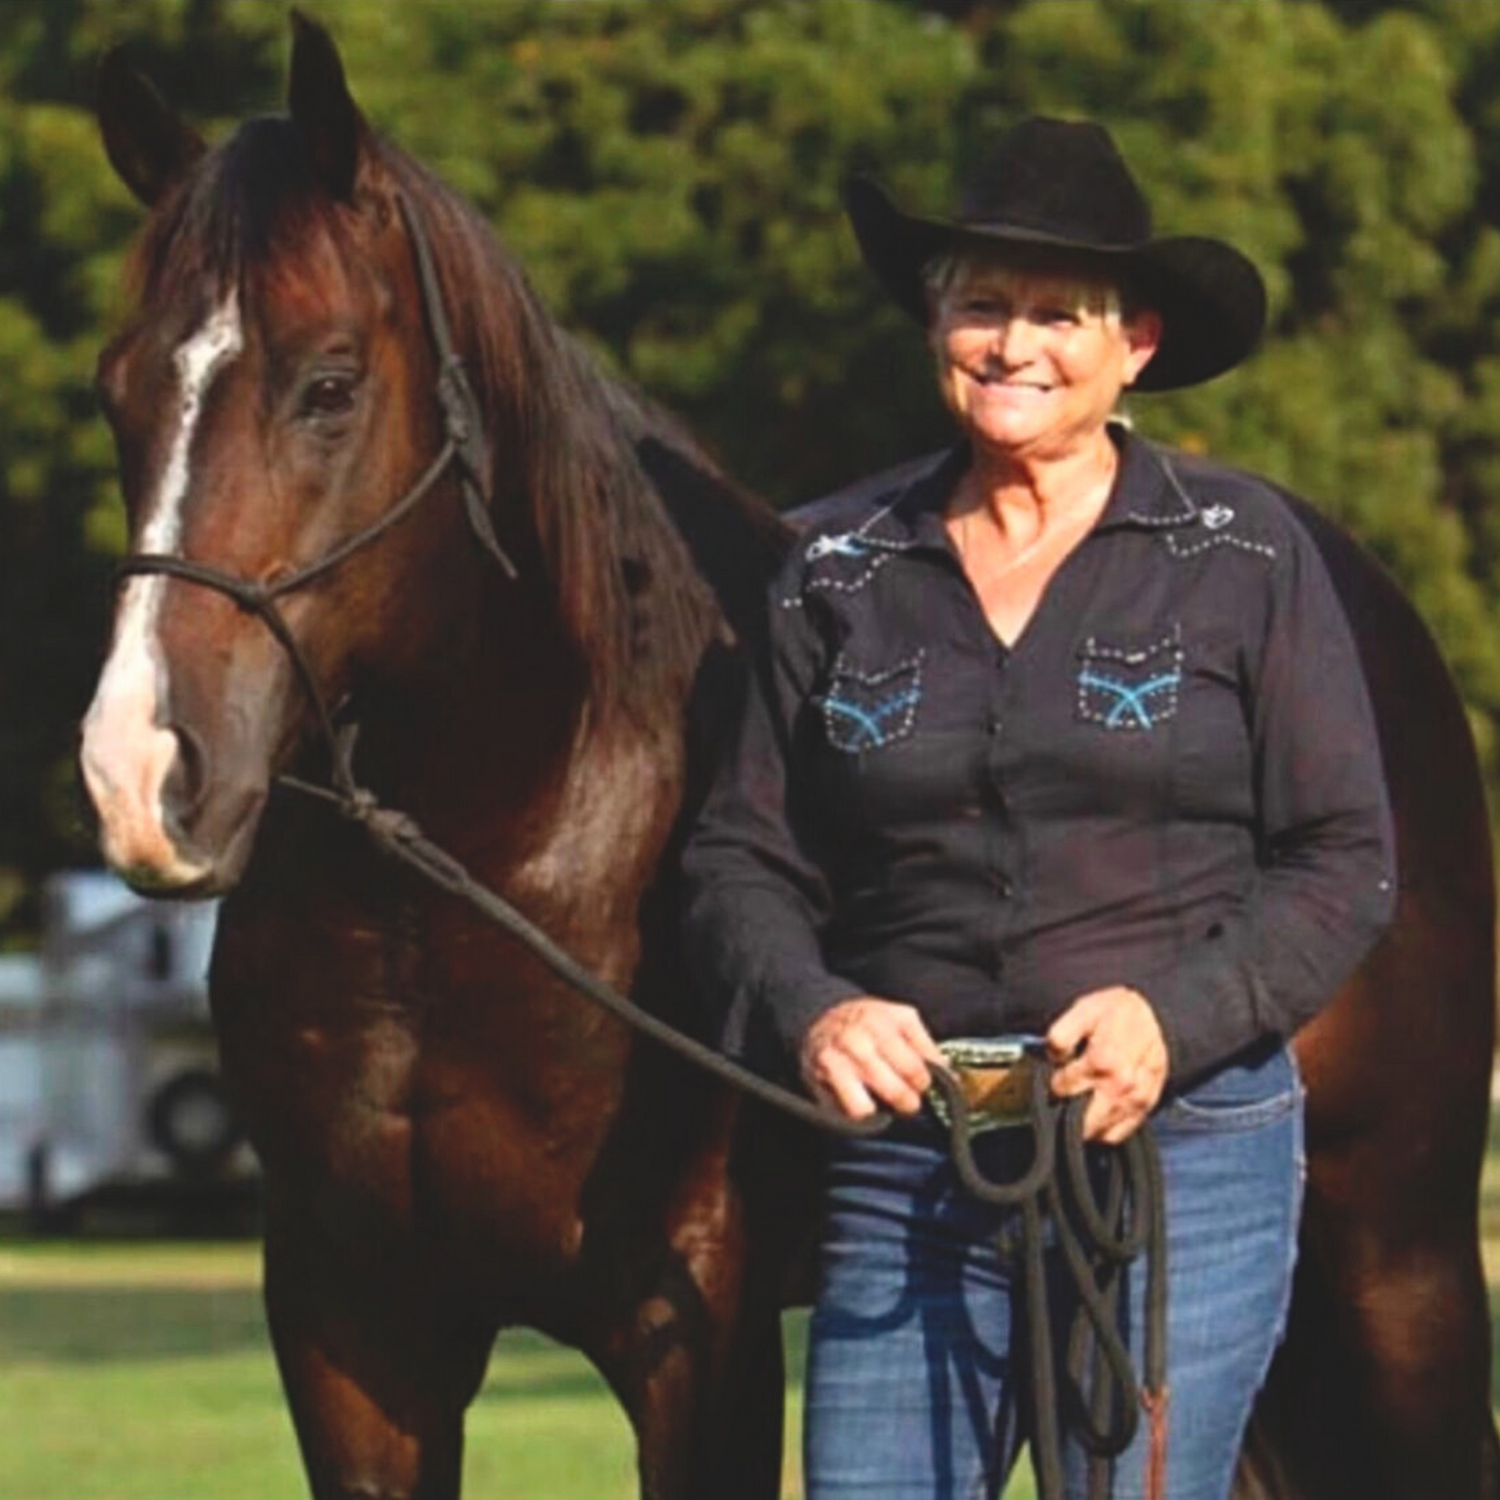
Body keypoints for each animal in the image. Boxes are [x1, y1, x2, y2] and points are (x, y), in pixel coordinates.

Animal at [79, 14, 1498, 1500]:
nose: (142, 777)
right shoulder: (356, 1335)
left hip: (1397, 1278)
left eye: (330, 384)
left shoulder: (693, 1337)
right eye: (115, 394)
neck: (505, 861)